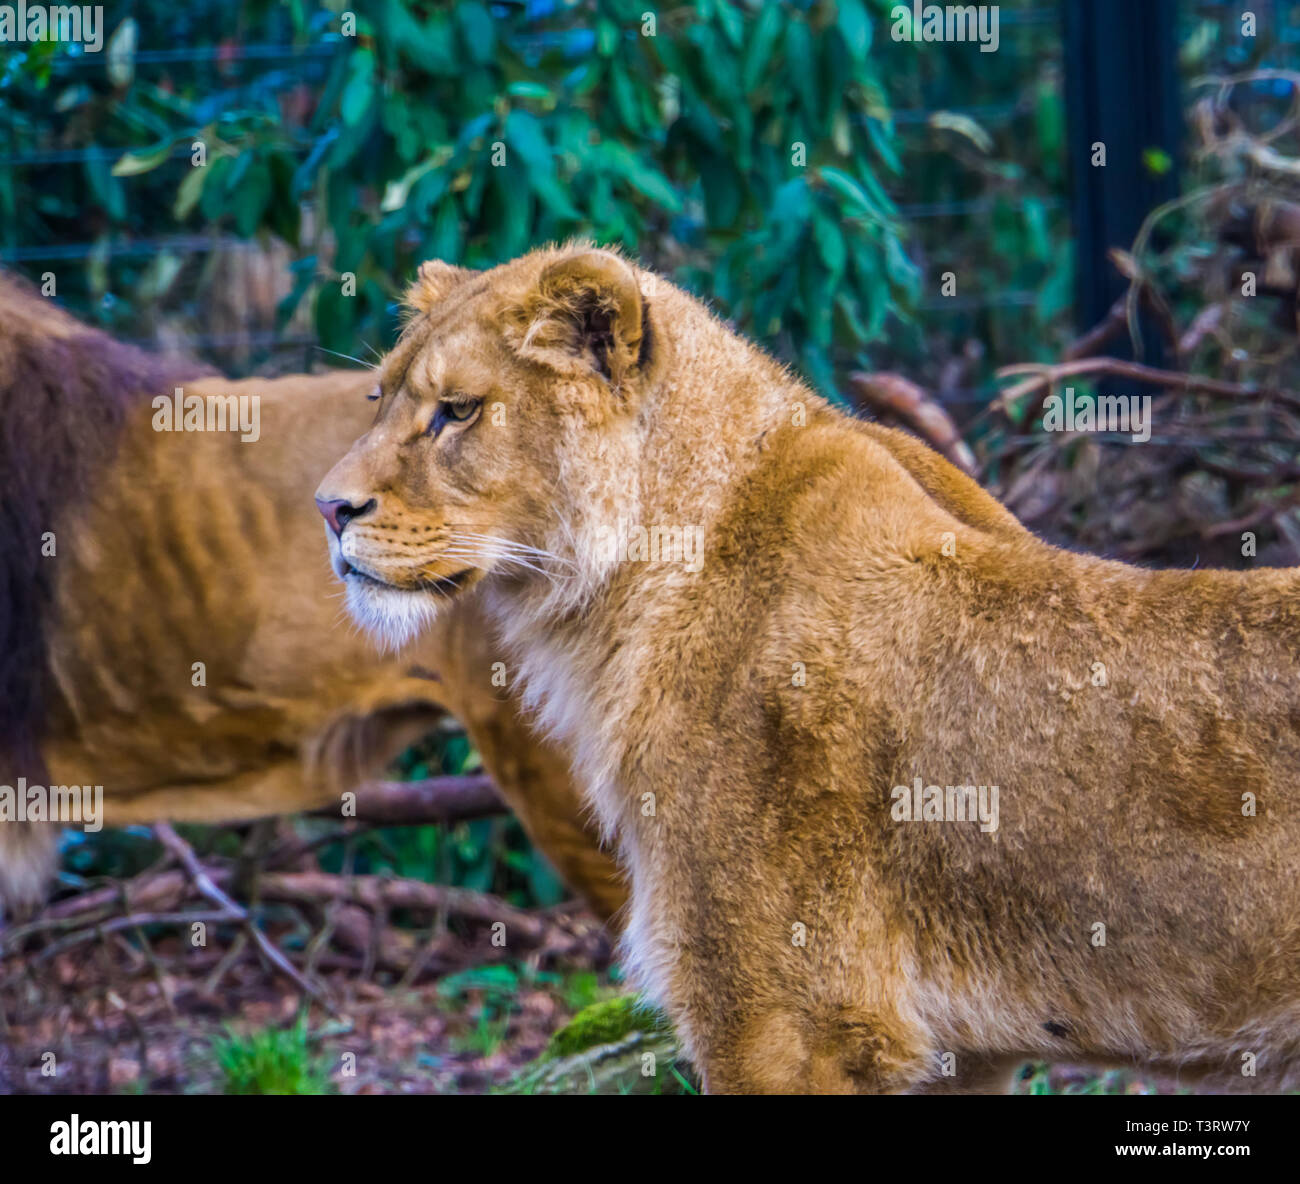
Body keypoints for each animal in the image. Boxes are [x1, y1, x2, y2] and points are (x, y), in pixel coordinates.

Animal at [317, 244, 1300, 1094]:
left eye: (458, 410)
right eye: (378, 397)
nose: (328, 508)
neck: (627, 596)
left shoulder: (785, 1025)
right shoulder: (959, 1057)